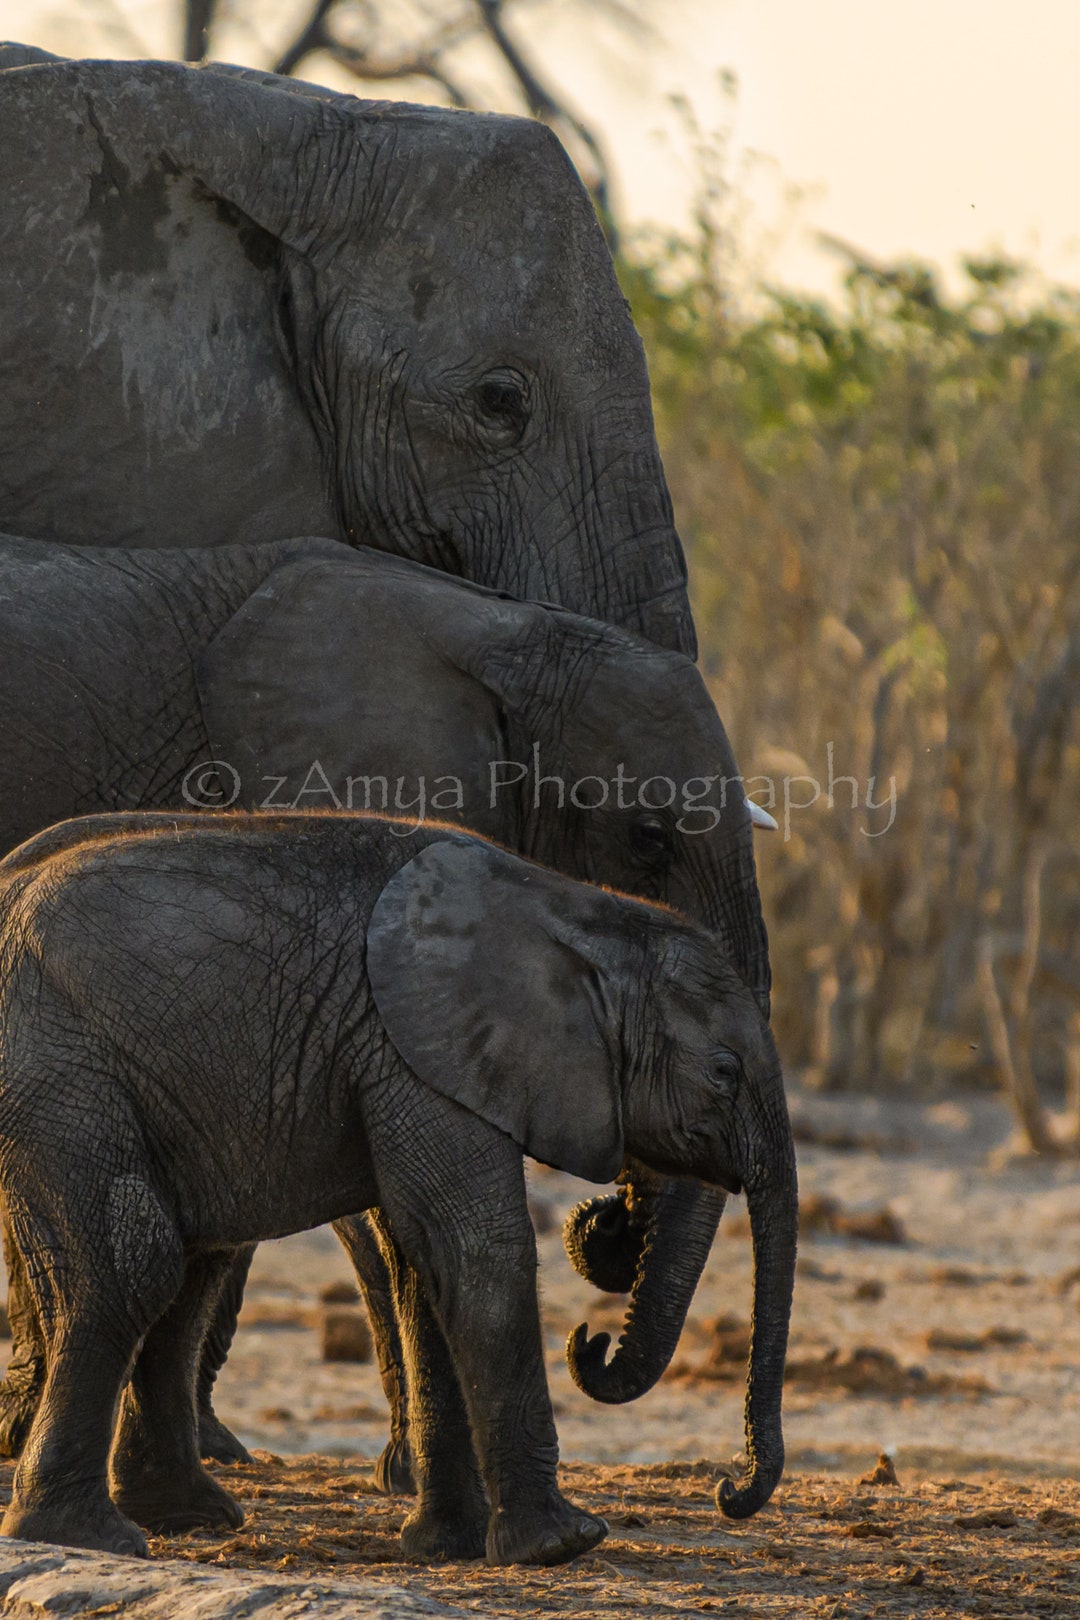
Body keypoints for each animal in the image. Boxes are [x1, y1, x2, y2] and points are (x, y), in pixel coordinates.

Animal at [0, 813, 797, 1563]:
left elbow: (427, 1267)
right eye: (724, 1073)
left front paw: (452, 1546)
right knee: (136, 1267)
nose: (728, 1490)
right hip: (56, 1068)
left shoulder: (420, 1056)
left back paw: (185, 1517)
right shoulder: (418, 1051)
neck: (581, 910)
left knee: (193, 1269)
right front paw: (562, 1544)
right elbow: (477, 1249)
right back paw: (86, 1535)